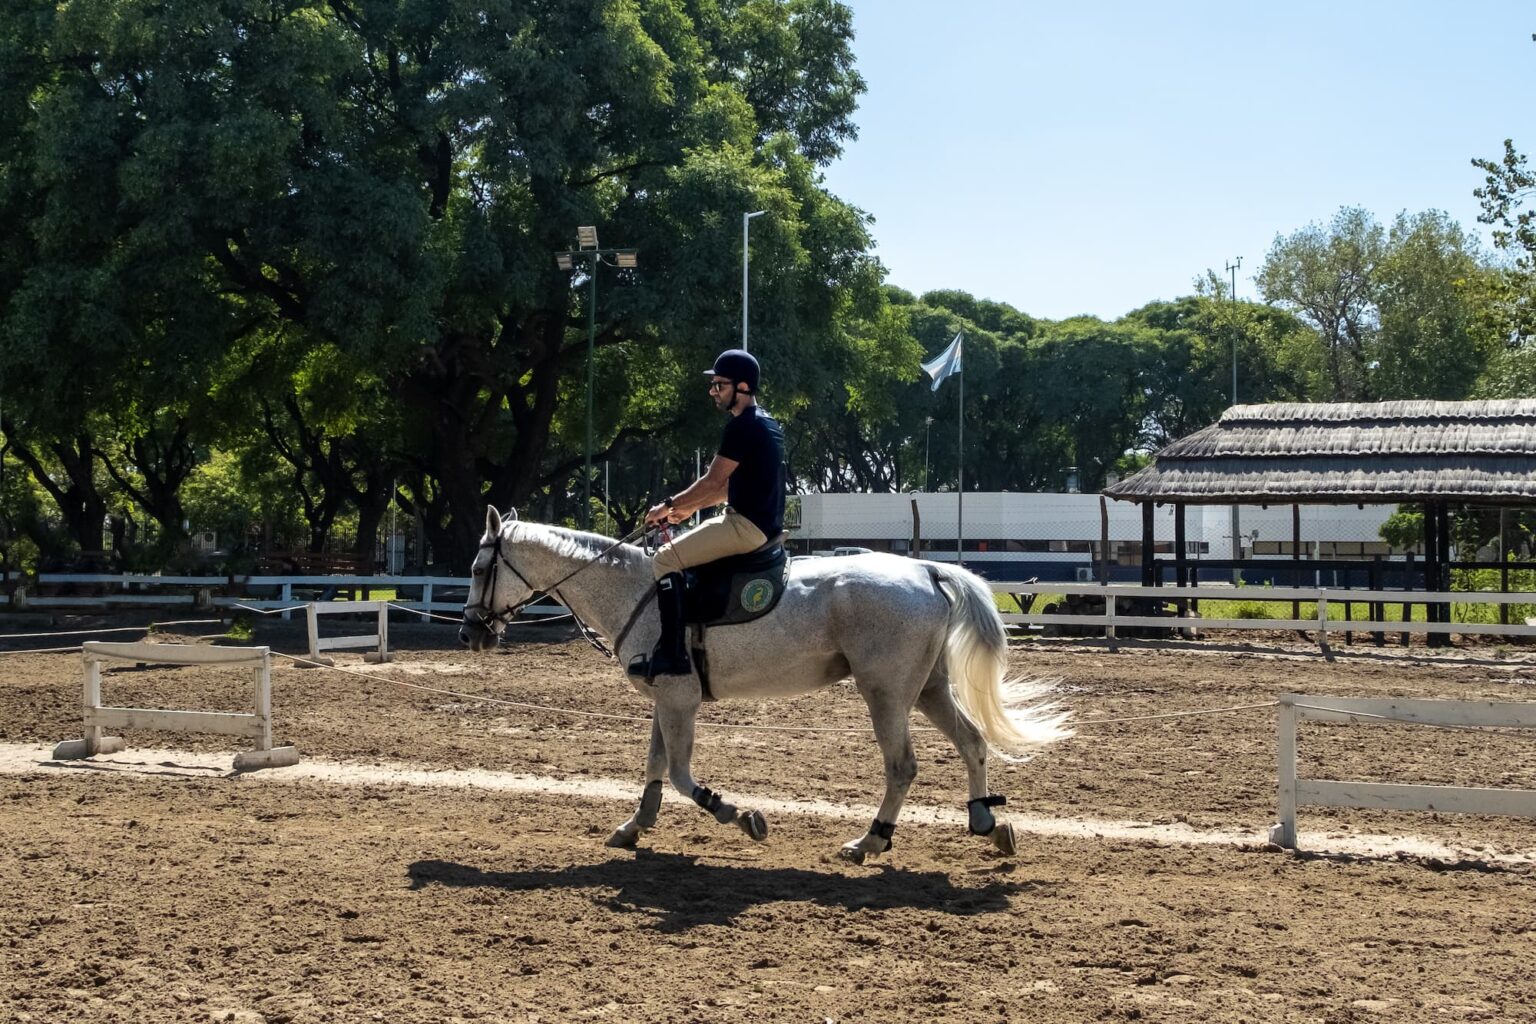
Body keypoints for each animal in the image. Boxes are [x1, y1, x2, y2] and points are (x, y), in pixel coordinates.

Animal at [460, 506, 1071, 863]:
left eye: (477, 569)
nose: (470, 632)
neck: (635, 588)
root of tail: (927, 569)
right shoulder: (665, 699)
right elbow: (655, 769)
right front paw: (635, 826)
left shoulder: (679, 701)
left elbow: (680, 775)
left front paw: (738, 815)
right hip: (927, 689)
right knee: (972, 741)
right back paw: (985, 820)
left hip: (886, 694)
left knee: (902, 767)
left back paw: (870, 840)